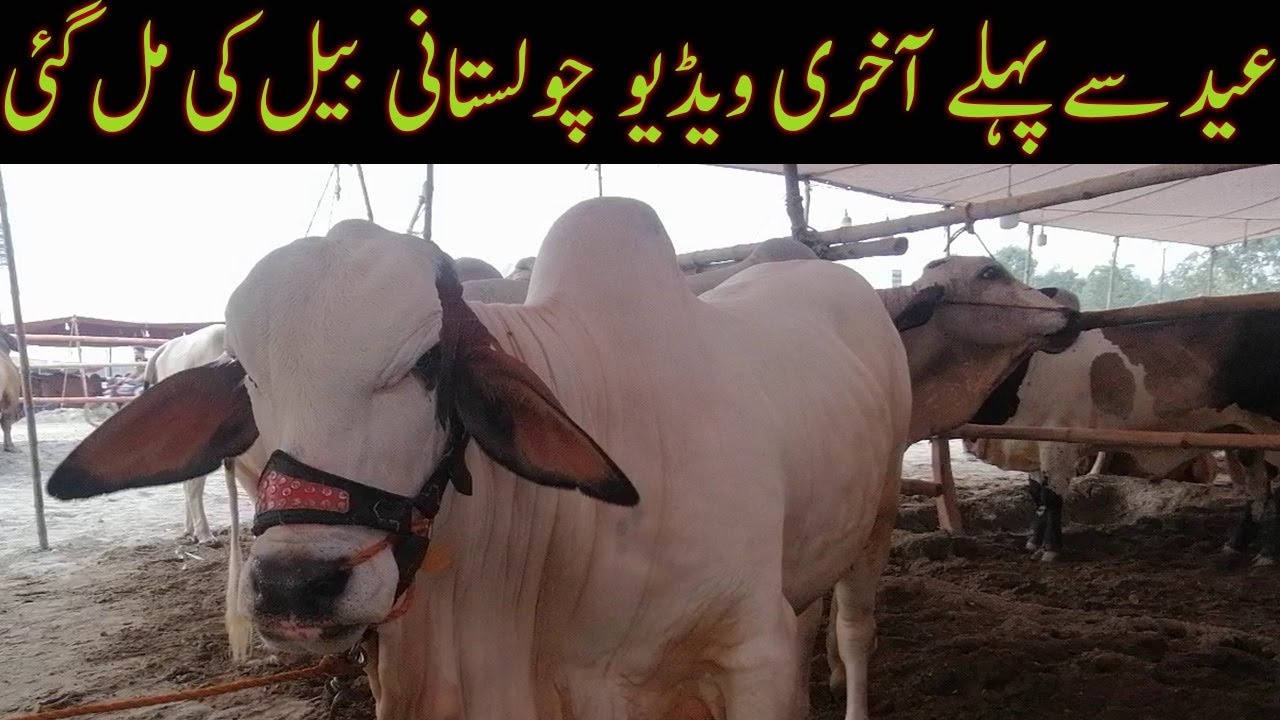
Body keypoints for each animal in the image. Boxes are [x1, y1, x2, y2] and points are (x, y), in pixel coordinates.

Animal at [47, 197, 921, 720]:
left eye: (427, 361)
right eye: (249, 375)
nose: (295, 586)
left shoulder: (750, 653)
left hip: (876, 519)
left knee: (854, 631)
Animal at [964, 294, 1280, 566]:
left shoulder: (1059, 441)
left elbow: (1052, 498)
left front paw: (1050, 550)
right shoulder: (1032, 443)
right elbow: (1038, 496)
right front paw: (1033, 543)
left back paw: (1266, 554)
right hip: (1246, 438)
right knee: (1258, 492)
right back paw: (1235, 546)